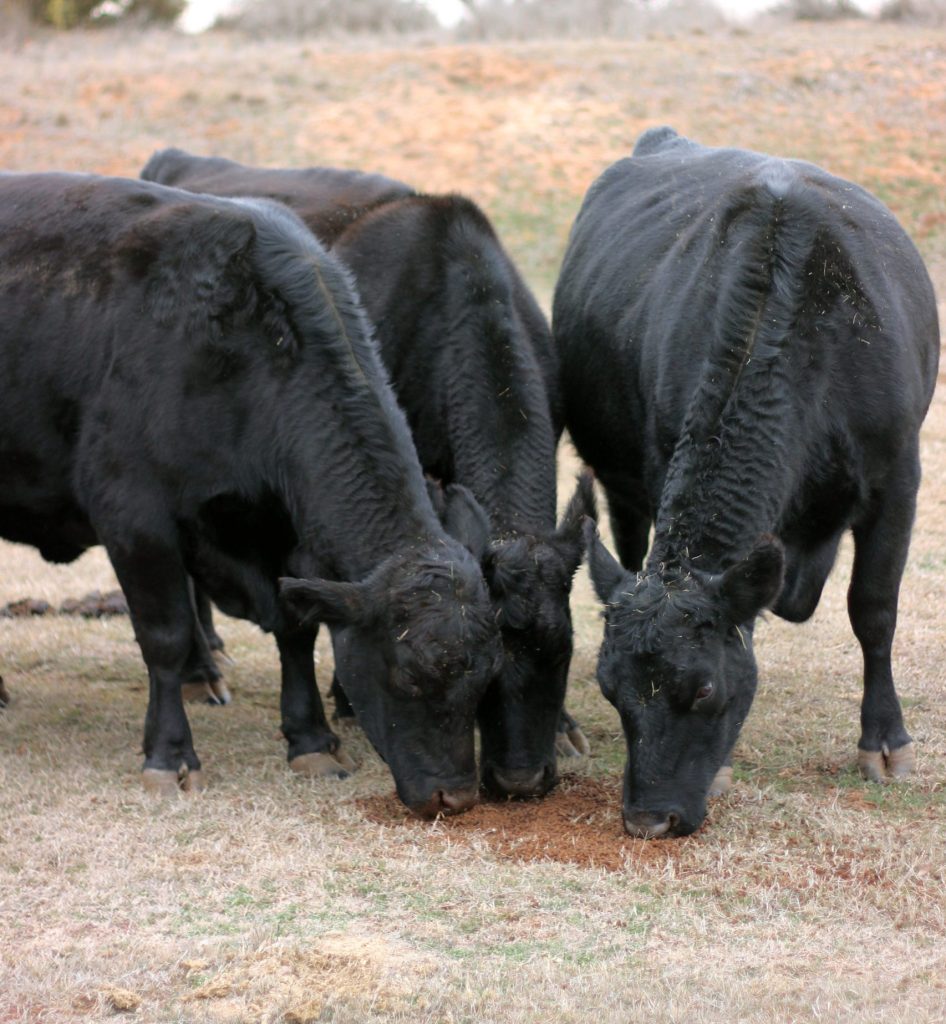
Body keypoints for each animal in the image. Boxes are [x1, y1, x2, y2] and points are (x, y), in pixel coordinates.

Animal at [0, 172, 502, 817]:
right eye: (410, 674)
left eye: (487, 677)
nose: (455, 795)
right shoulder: (133, 516)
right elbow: (164, 637)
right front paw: (170, 755)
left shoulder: (283, 535)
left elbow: (297, 631)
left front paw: (311, 741)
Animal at [141, 149, 595, 799]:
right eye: (490, 678)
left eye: (562, 651)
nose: (520, 778)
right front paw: (343, 700)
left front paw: (564, 726)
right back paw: (202, 669)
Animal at [552, 127, 939, 838]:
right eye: (611, 691)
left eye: (703, 687)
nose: (648, 820)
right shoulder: (660, 457)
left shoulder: (898, 477)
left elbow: (873, 609)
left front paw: (885, 741)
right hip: (620, 479)